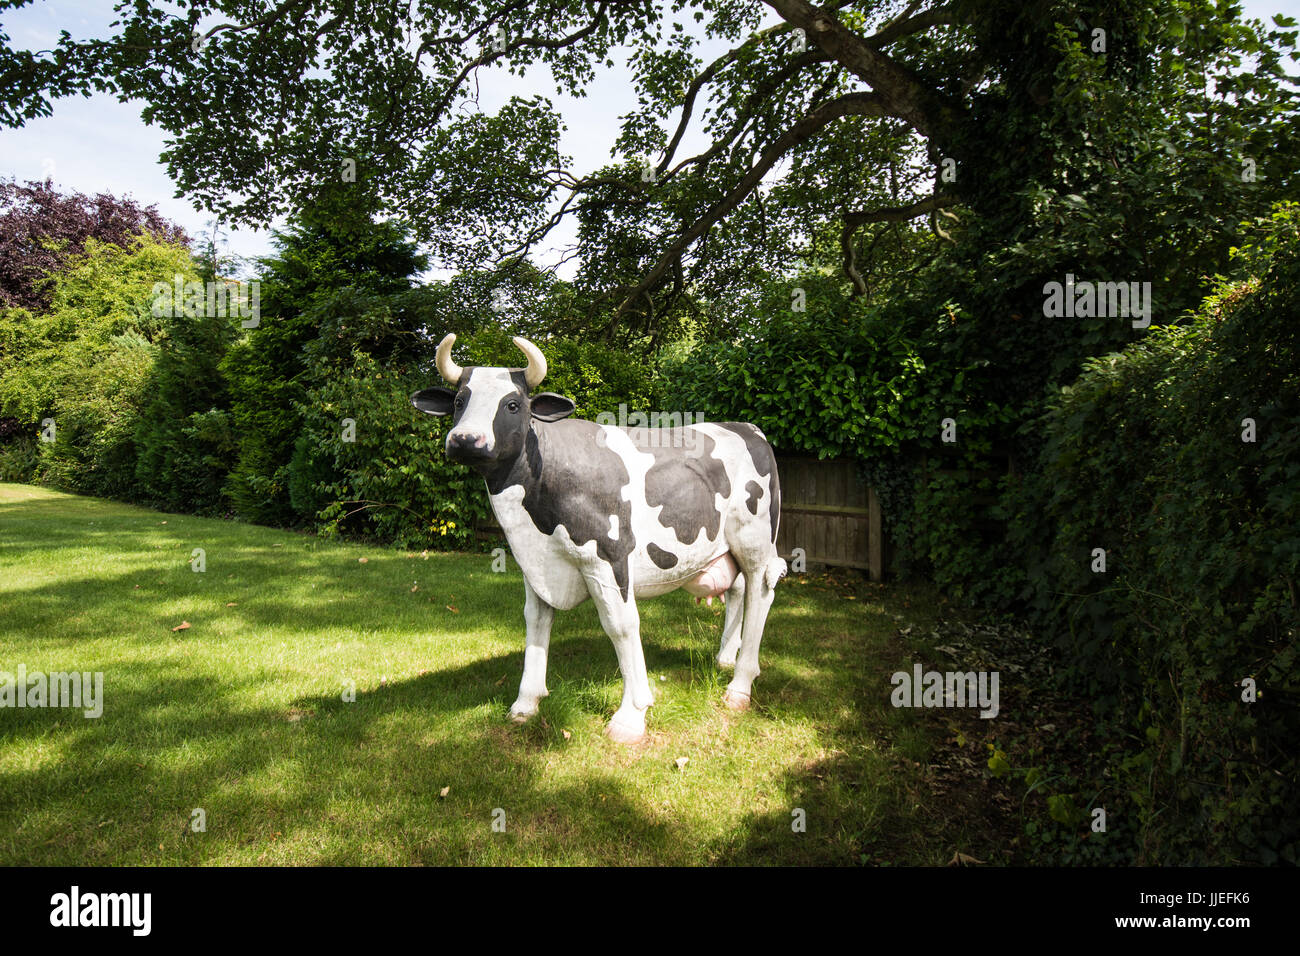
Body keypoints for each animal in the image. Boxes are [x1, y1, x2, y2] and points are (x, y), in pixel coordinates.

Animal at [411, 334, 787, 742]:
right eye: (459, 401)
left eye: (513, 404)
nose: (465, 440)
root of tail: (746, 427)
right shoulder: (534, 561)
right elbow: (535, 621)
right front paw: (526, 703)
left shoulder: (609, 556)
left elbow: (621, 625)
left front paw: (632, 715)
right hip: (726, 547)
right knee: (737, 589)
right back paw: (724, 660)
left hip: (756, 541)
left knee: (760, 592)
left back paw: (740, 685)